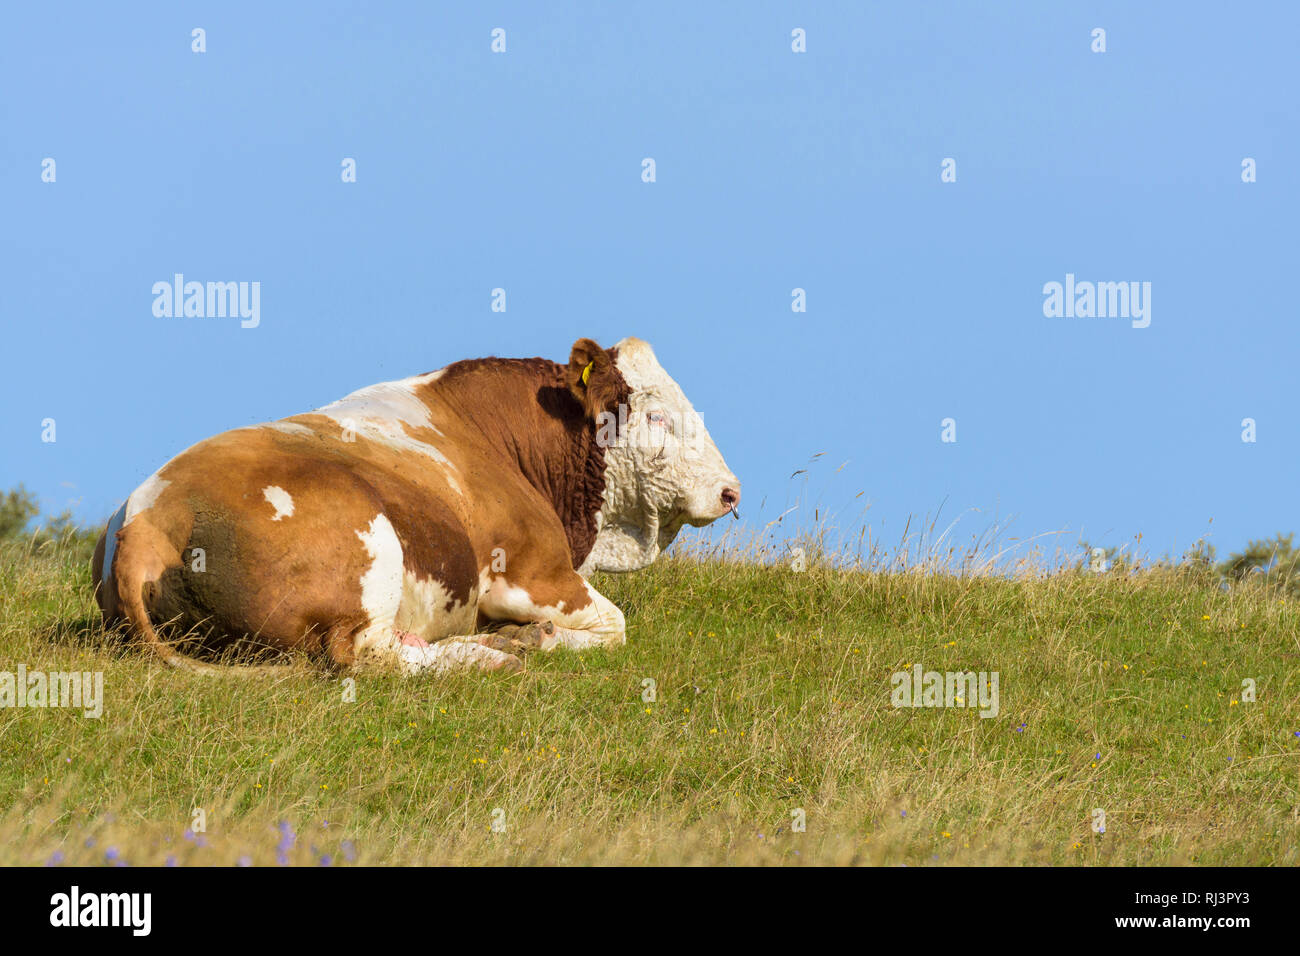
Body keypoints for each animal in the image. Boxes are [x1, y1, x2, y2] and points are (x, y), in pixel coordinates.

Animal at [91, 337, 740, 675]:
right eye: (655, 415)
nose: (731, 490)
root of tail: (148, 514)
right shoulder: (532, 573)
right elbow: (615, 627)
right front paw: (543, 637)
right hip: (372, 546)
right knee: (372, 655)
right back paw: (495, 654)